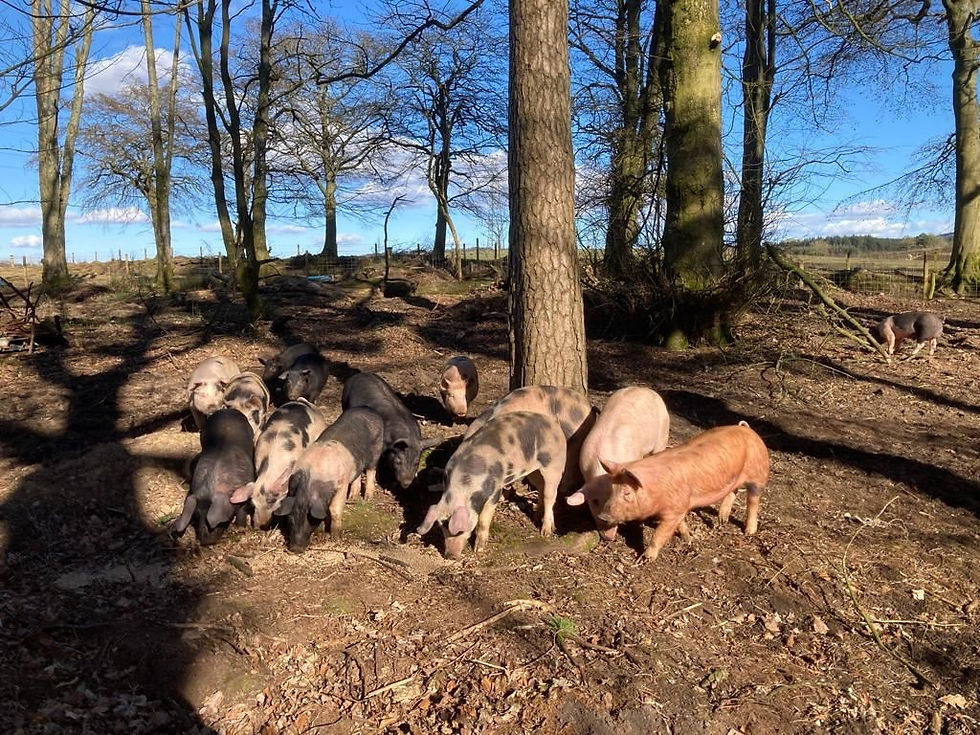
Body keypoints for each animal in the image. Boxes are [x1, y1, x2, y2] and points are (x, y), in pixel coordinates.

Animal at [171, 408, 254, 545]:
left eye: (217, 523)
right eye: (197, 517)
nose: (205, 542)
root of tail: (227, 410)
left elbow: (242, 510)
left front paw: (240, 527)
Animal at [274, 407, 385, 553]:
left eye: (310, 519)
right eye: (290, 518)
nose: (296, 549)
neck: (312, 478)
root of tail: (370, 409)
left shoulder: (342, 483)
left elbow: (334, 509)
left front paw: (335, 537)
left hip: (377, 447)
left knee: (372, 469)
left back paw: (368, 498)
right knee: (358, 473)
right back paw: (353, 497)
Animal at [416, 411, 567, 559]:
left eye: (459, 531)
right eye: (442, 528)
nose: (449, 556)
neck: (465, 485)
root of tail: (554, 424)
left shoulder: (495, 489)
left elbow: (484, 519)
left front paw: (479, 550)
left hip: (555, 463)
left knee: (550, 495)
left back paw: (546, 532)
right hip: (533, 471)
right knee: (541, 488)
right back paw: (537, 517)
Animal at [566, 421, 769, 562]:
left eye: (627, 493)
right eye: (612, 489)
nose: (604, 516)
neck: (657, 489)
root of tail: (748, 430)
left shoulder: (674, 509)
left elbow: (660, 534)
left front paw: (645, 559)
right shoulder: (680, 507)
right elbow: (680, 524)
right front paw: (689, 538)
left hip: (758, 475)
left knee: (753, 501)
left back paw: (749, 532)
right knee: (733, 492)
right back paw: (721, 521)